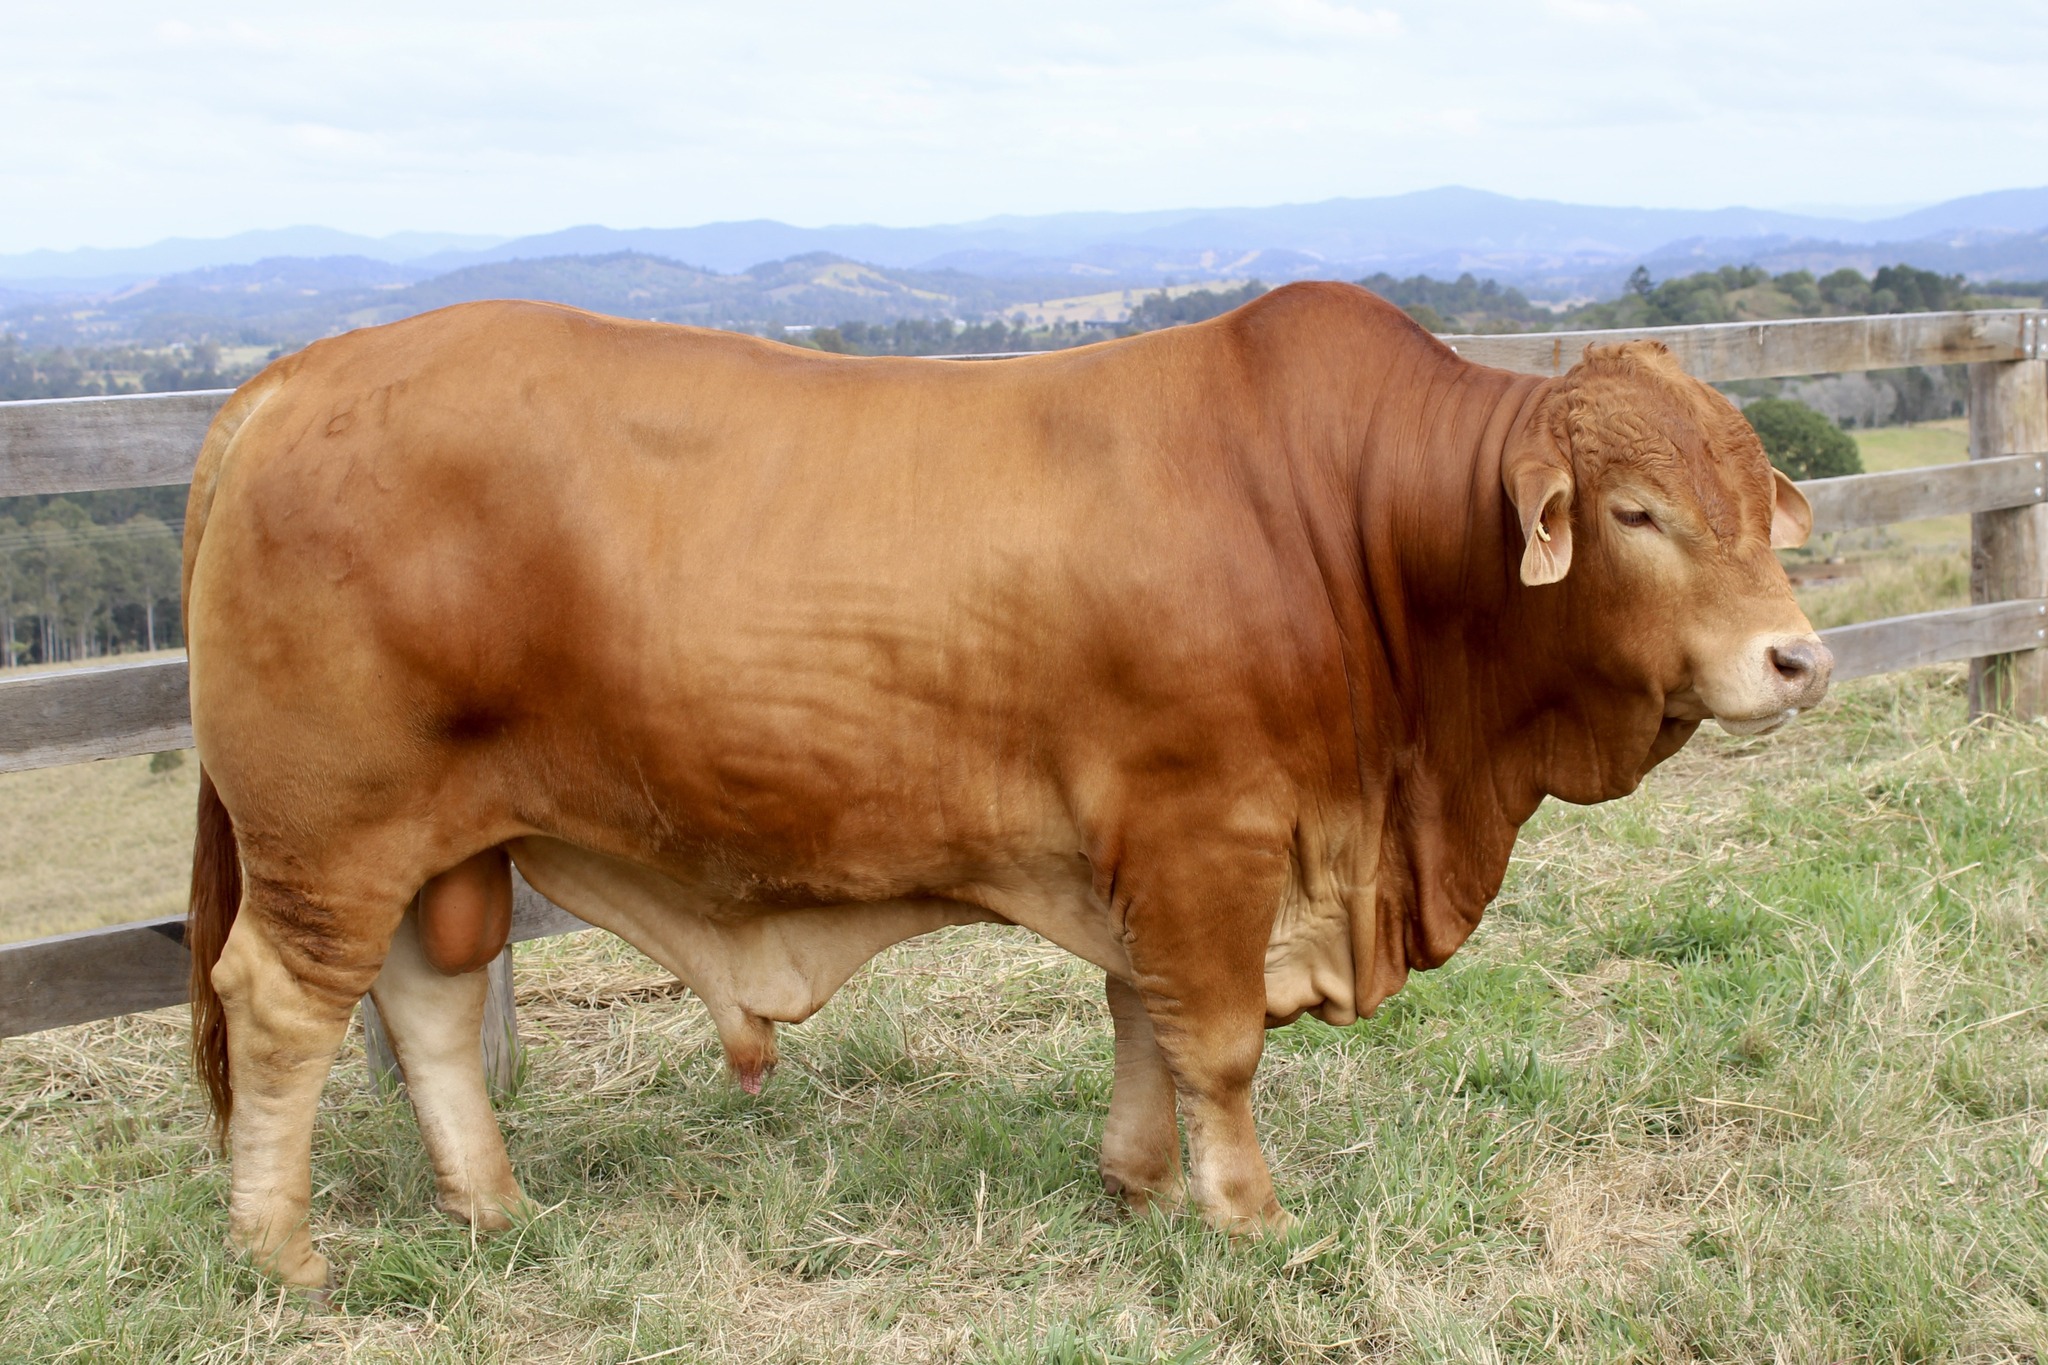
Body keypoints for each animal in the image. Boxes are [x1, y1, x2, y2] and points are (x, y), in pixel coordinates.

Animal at [180, 282, 1829, 1289]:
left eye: (1757, 500)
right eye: (1638, 512)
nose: (1798, 658)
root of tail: (295, 376)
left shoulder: (1156, 855)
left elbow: (1146, 1020)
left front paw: (1139, 1184)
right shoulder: (1208, 830)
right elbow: (1219, 1041)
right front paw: (1248, 1216)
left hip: (438, 843)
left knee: (426, 1003)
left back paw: (493, 1203)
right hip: (330, 832)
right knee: (280, 1006)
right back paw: (280, 1251)